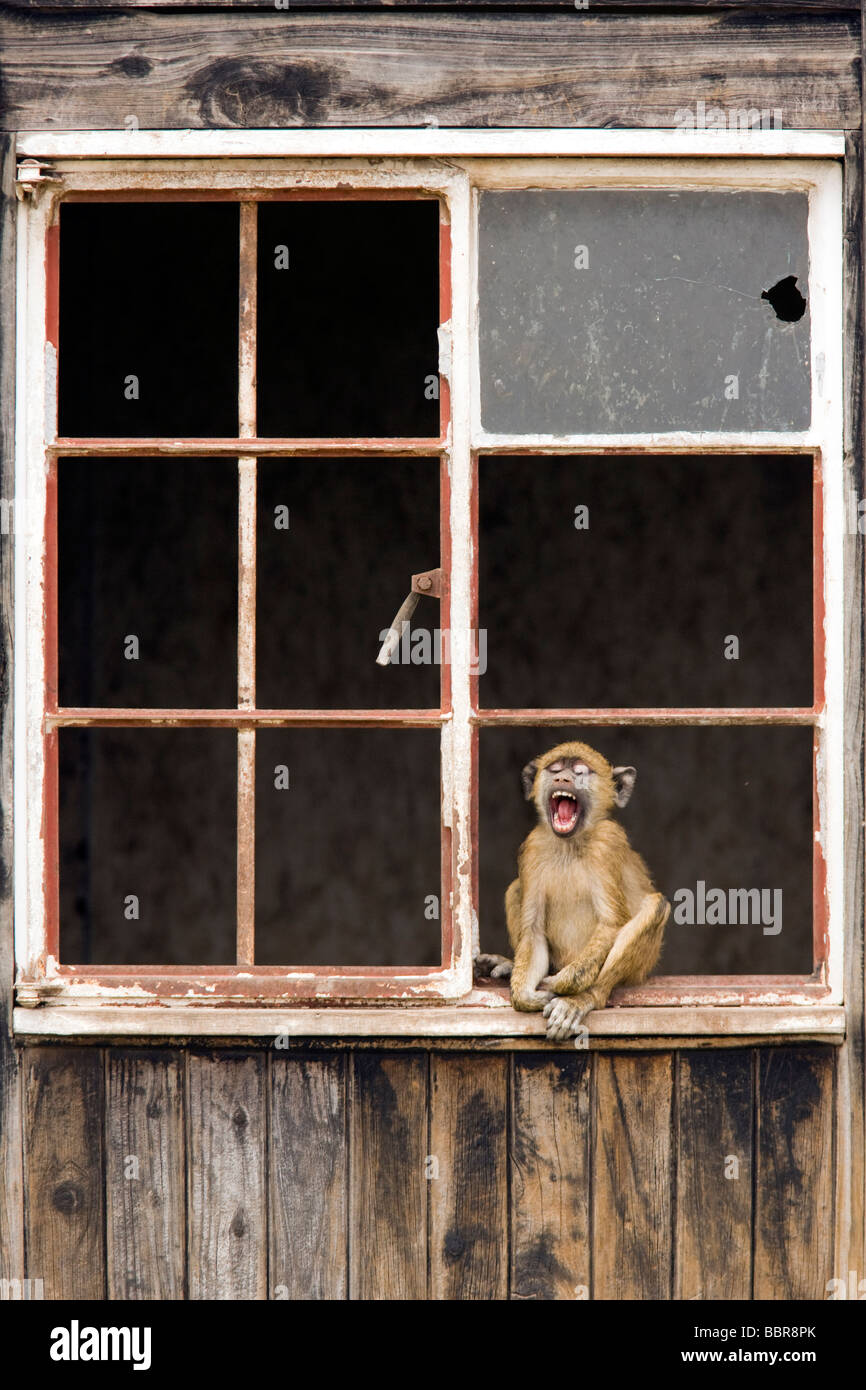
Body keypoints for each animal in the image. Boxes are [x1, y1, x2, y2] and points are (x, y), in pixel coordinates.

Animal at [474, 741, 670, 1041]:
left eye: (579, 772)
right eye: (555, 770)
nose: (562, 780)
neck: (570, 844)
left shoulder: (606, 842)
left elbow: (610, 925)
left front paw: (558, 984)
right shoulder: (533, 847)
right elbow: (533, 932)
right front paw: (526, 996)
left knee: (655, 907)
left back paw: (585, 997)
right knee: (515, 889)